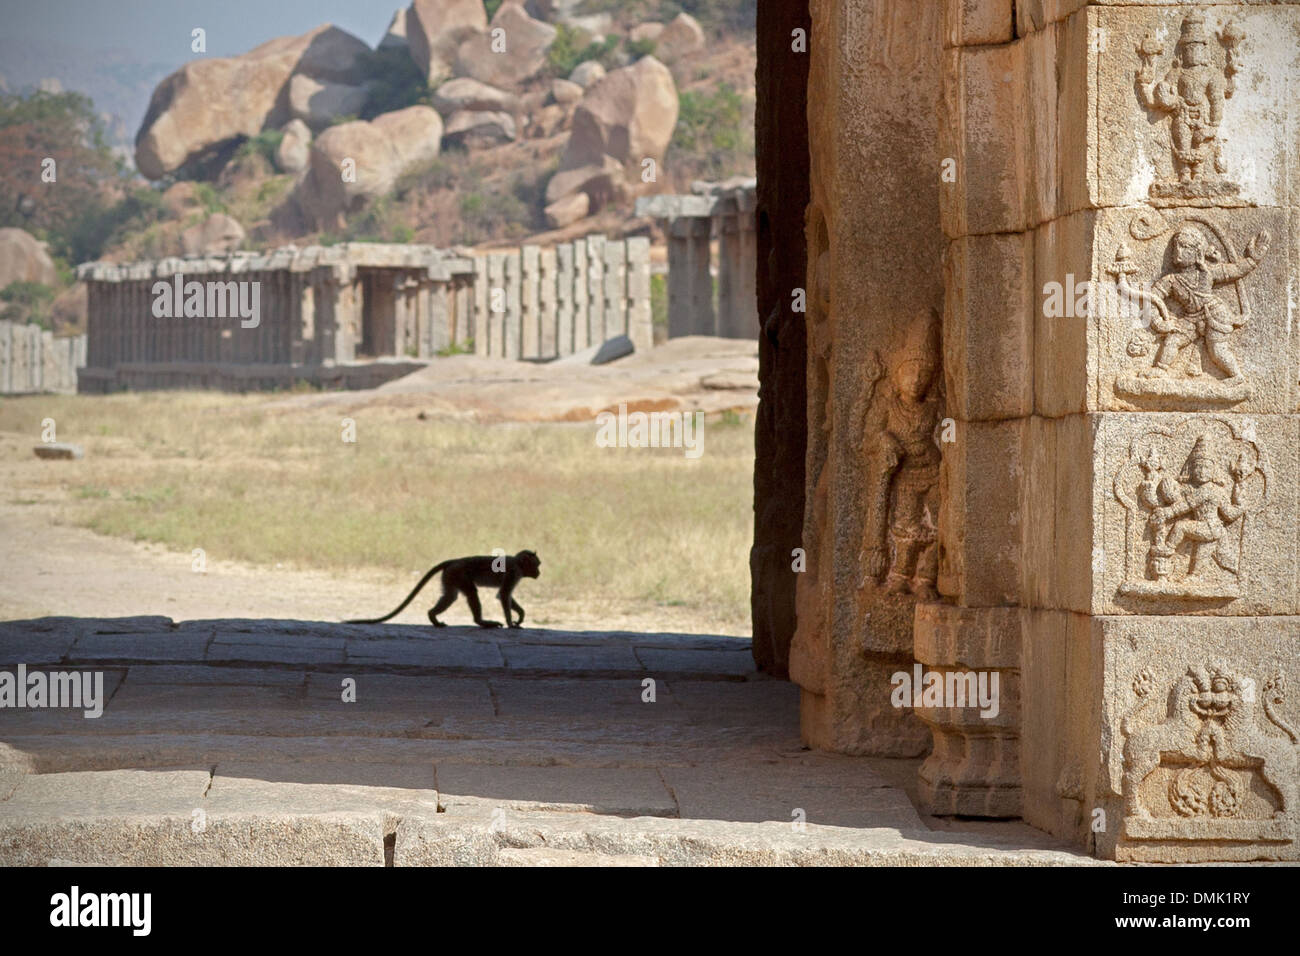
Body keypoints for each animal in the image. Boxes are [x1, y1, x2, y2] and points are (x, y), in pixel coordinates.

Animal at [346, 550, 540, 629]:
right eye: (537, 565)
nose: (539, 573)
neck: (518, 563)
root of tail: (454, 561)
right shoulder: (514, 573)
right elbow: (504, 594)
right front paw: (510, 623)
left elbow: (503, 595)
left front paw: (520, 616)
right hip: (459, 574)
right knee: (471, 593)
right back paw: (481, 622)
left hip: (450, 576)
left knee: (450, 596)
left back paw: (433, 617)